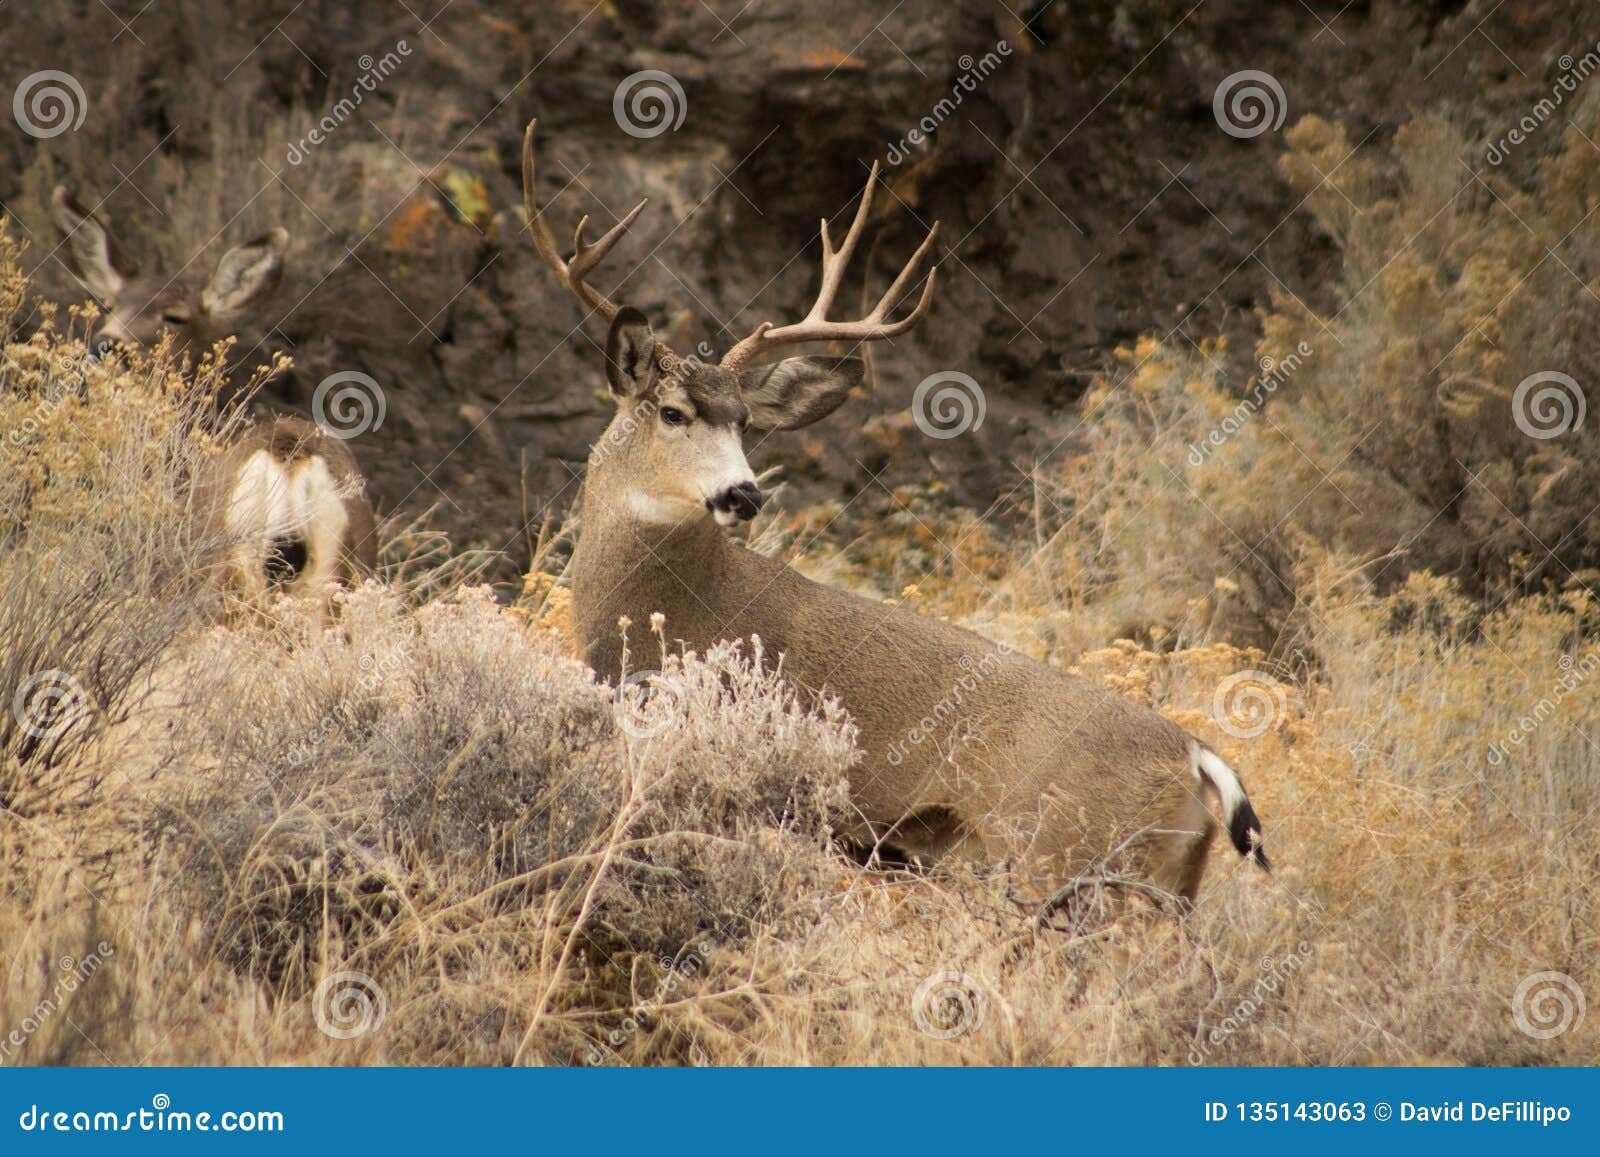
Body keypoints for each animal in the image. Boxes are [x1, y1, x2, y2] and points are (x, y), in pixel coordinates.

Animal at [50, 186, 377, 612]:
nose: (107, 344)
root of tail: (291, 462)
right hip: (344, 575)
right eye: (110, 305)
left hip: (222, 577)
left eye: (175, 317)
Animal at [520, 121, 1267, 902]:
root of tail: (1195, 753)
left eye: (745, 422)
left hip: (1058, 854)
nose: (744, 494)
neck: (675, 607)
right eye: (672, 412)